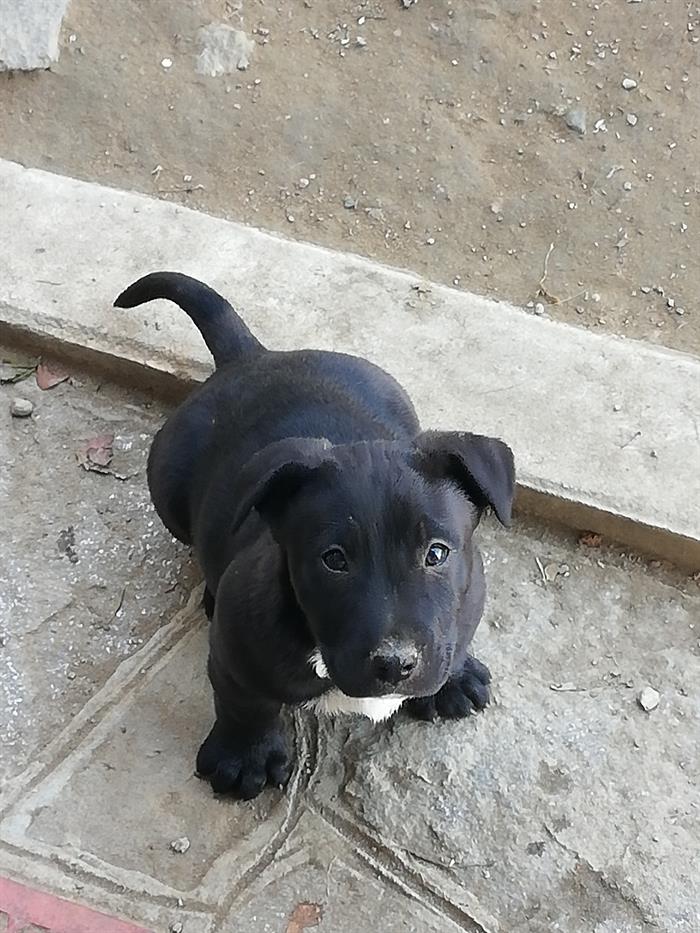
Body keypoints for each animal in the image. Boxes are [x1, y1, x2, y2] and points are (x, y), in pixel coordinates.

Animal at [115, 272, 516, 800]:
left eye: (436, 554)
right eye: (334, 559)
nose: (394, 665)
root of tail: (252, 356)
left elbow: (456, 636)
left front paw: (456, 678)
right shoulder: (235, 653)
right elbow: (244, 701)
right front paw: (244, 757)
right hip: (167, 487)